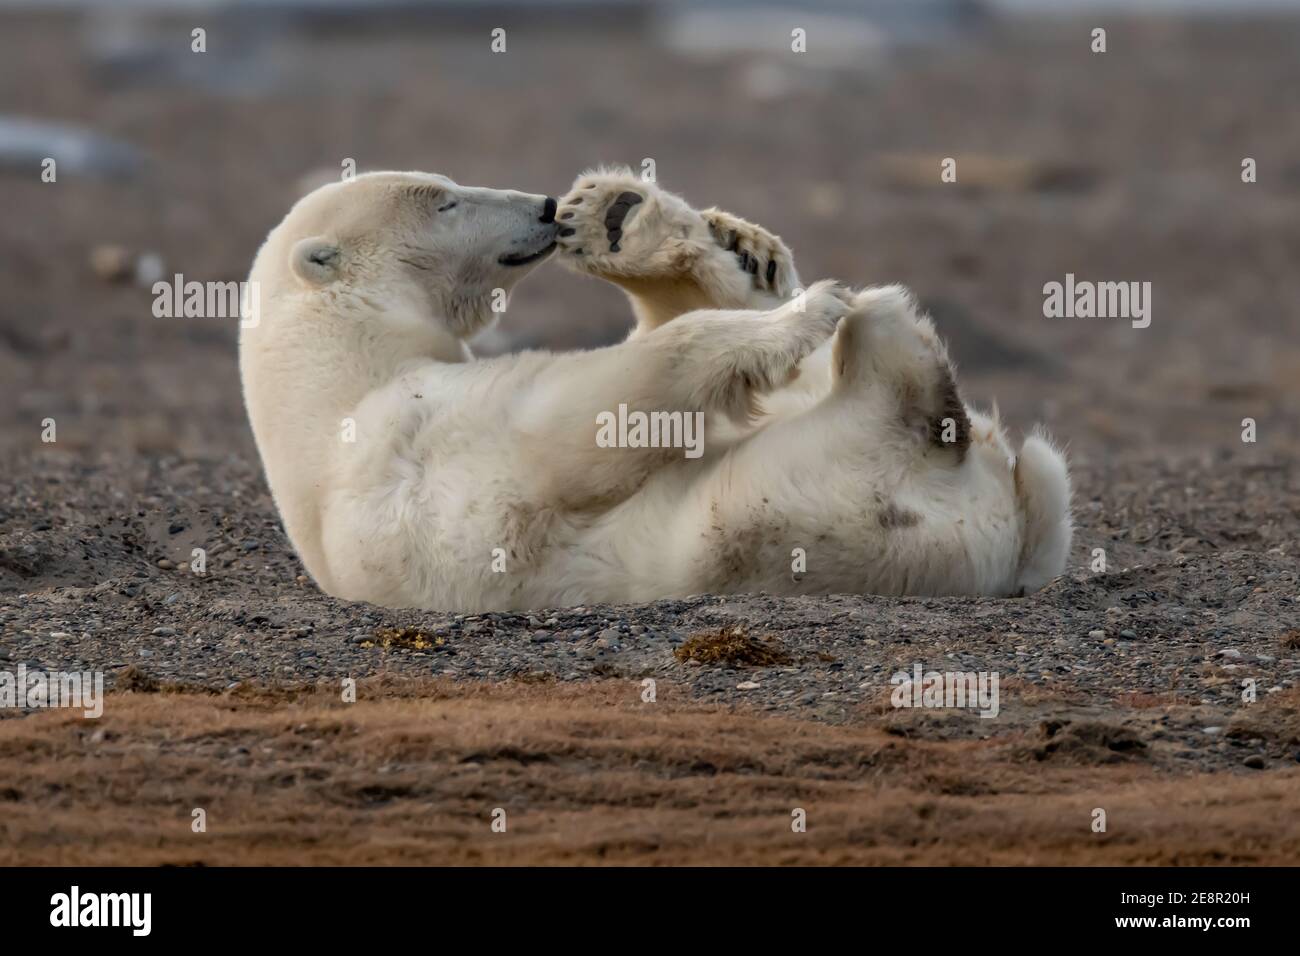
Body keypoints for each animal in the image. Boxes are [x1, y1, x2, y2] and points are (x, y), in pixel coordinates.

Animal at [239, 169, 1071, 611]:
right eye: (443, 199)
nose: (543, 207)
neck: (338, 381)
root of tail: (1020, 531)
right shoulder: (420, 441)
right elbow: (589, 416)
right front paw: (808, 311)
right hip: (807, 506)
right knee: (872, 396)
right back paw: (873, 320)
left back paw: (639, 224)